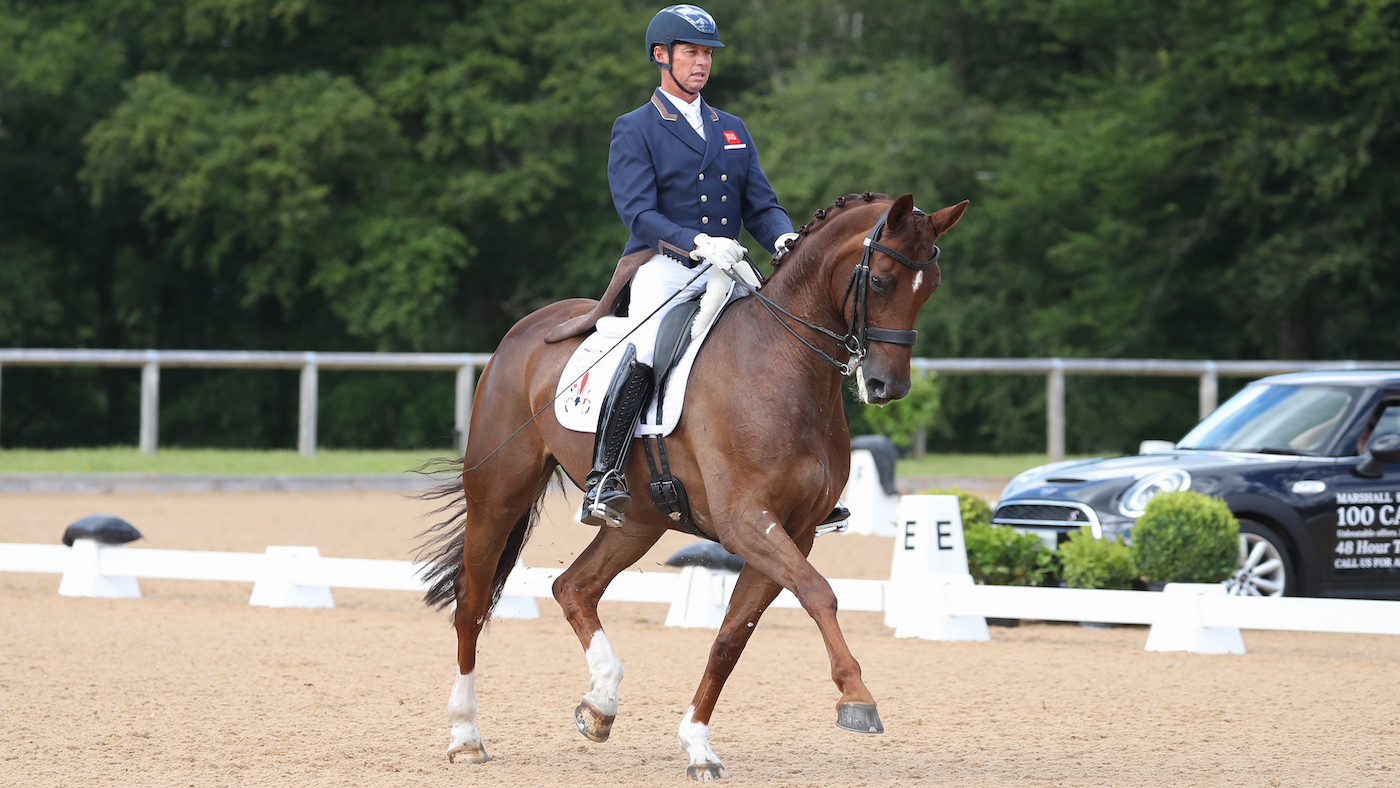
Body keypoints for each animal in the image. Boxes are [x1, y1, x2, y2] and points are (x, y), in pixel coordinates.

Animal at [416, 191, 967, 780]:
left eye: (930, 285)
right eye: (882, 281)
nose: (888, 386)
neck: (783, 365)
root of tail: (524, 329)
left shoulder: (793, 531)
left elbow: (731, 637)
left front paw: (698, 746)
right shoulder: (747, 521)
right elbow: (819, 591)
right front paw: (857, 697)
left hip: (637, 521)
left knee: (573, 587)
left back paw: (600, 703)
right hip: (498, 493)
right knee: (472, 602)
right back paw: (465, 735)